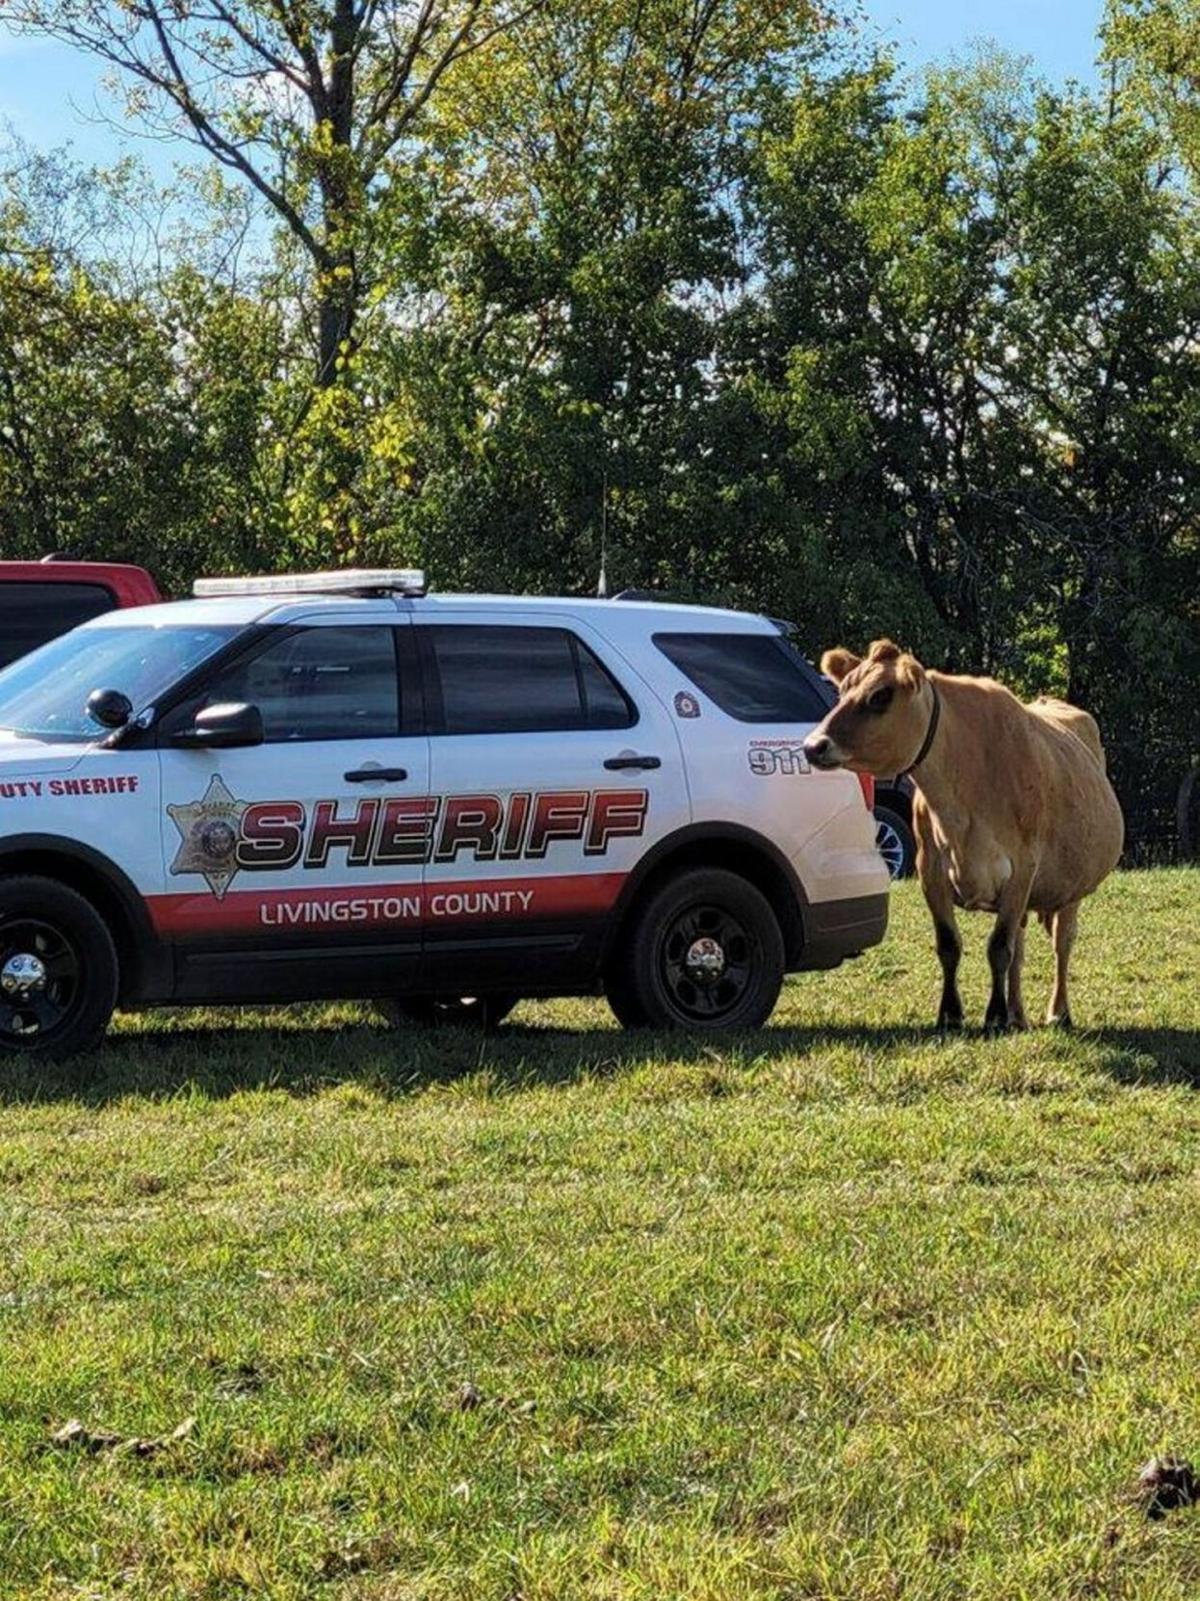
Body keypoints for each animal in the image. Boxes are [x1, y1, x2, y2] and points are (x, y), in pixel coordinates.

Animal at [802, 640, 1124, 1032]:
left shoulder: (1022, 869)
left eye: (881, 695)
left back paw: (1057, 1011)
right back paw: (1018, 1014)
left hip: (1071, 888)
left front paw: (994, 1017)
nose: (813, 745)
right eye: (844, 688)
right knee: (1021, 945)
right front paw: (951, 1014)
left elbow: (999, 947)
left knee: (1061, 943)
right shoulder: (931, 871)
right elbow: (950, 945)